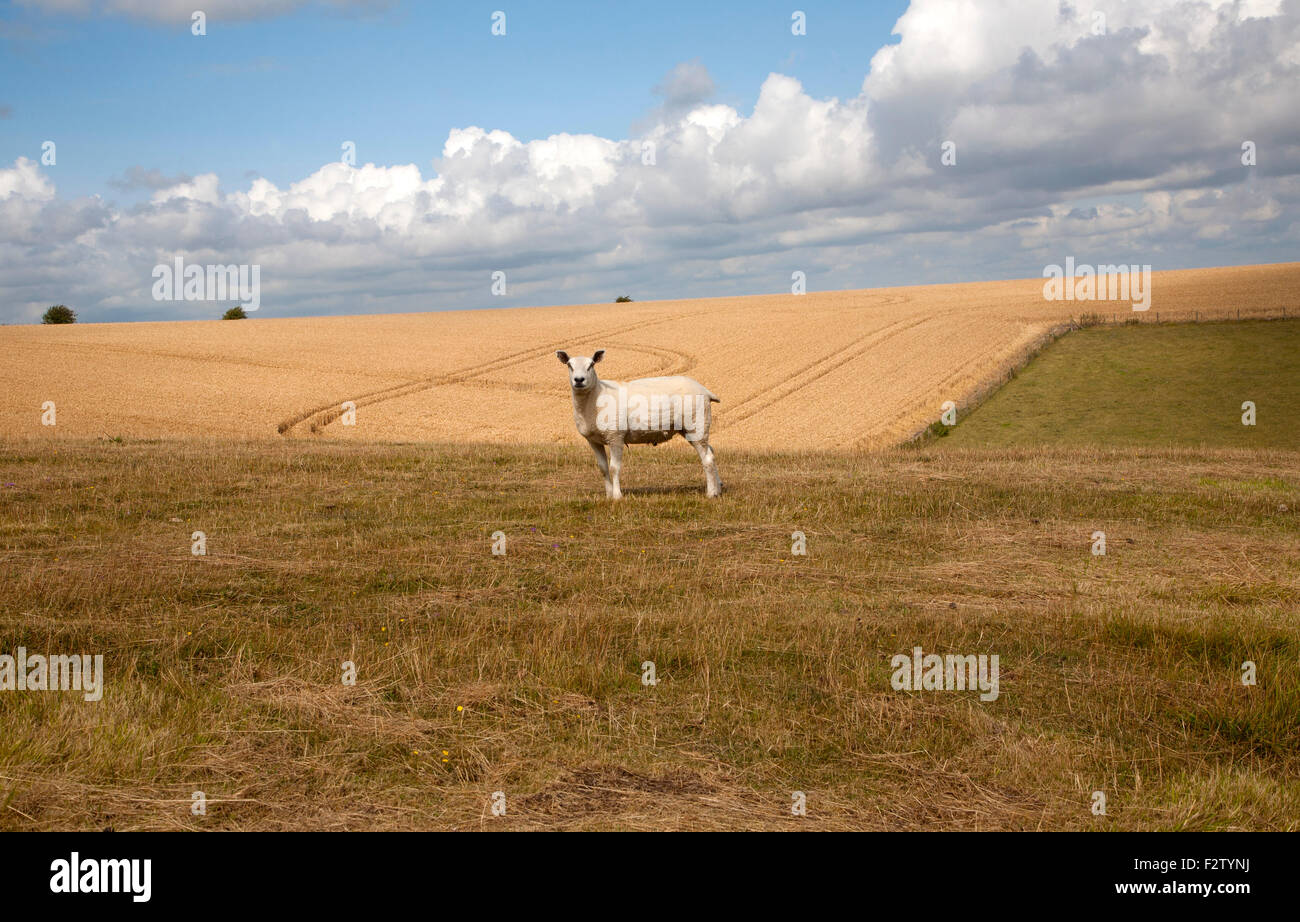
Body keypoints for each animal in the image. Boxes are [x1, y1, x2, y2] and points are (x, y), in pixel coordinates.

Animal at [556, 349, 722, 499]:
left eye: (591, 365)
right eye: (569, 365)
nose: (579, 380)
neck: (595, 396)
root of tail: (705, 390)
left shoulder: (615, 436)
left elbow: (614, 468)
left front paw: (617, 496)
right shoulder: (593, 440)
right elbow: (603, 468)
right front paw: (608, 496)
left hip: (696, 423)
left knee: (707, 458)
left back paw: (711, 493)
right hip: (692, 428)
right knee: (711, 452)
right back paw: (718, 488)